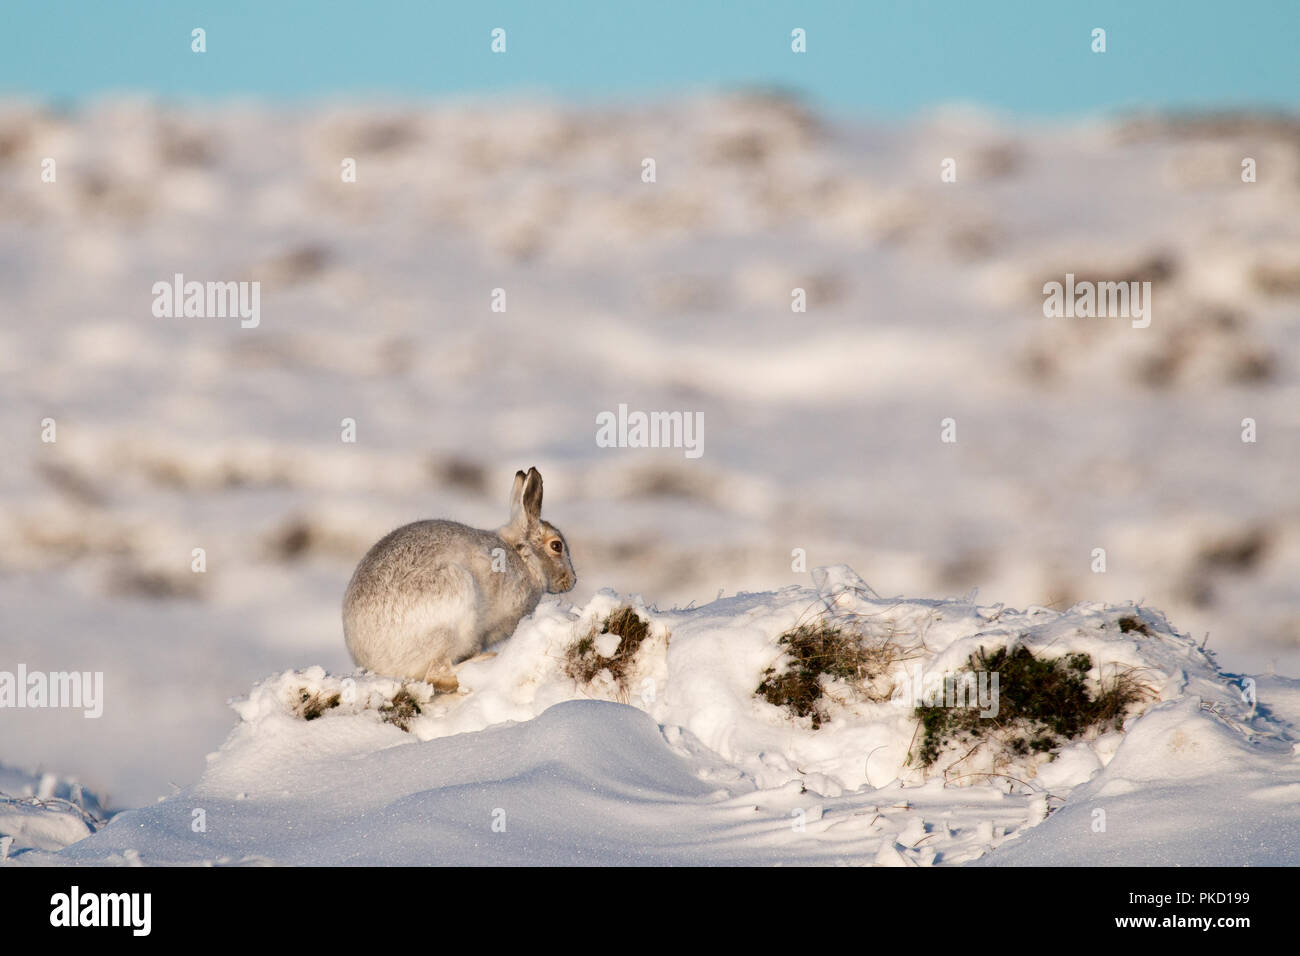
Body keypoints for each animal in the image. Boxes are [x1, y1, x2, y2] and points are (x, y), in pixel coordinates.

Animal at [342, 466, 576, 691]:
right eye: (556, 546)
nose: (572, 581)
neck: (521, 555)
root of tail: (375, 662)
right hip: (453, 608)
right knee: (437, 674)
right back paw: (486, 660)